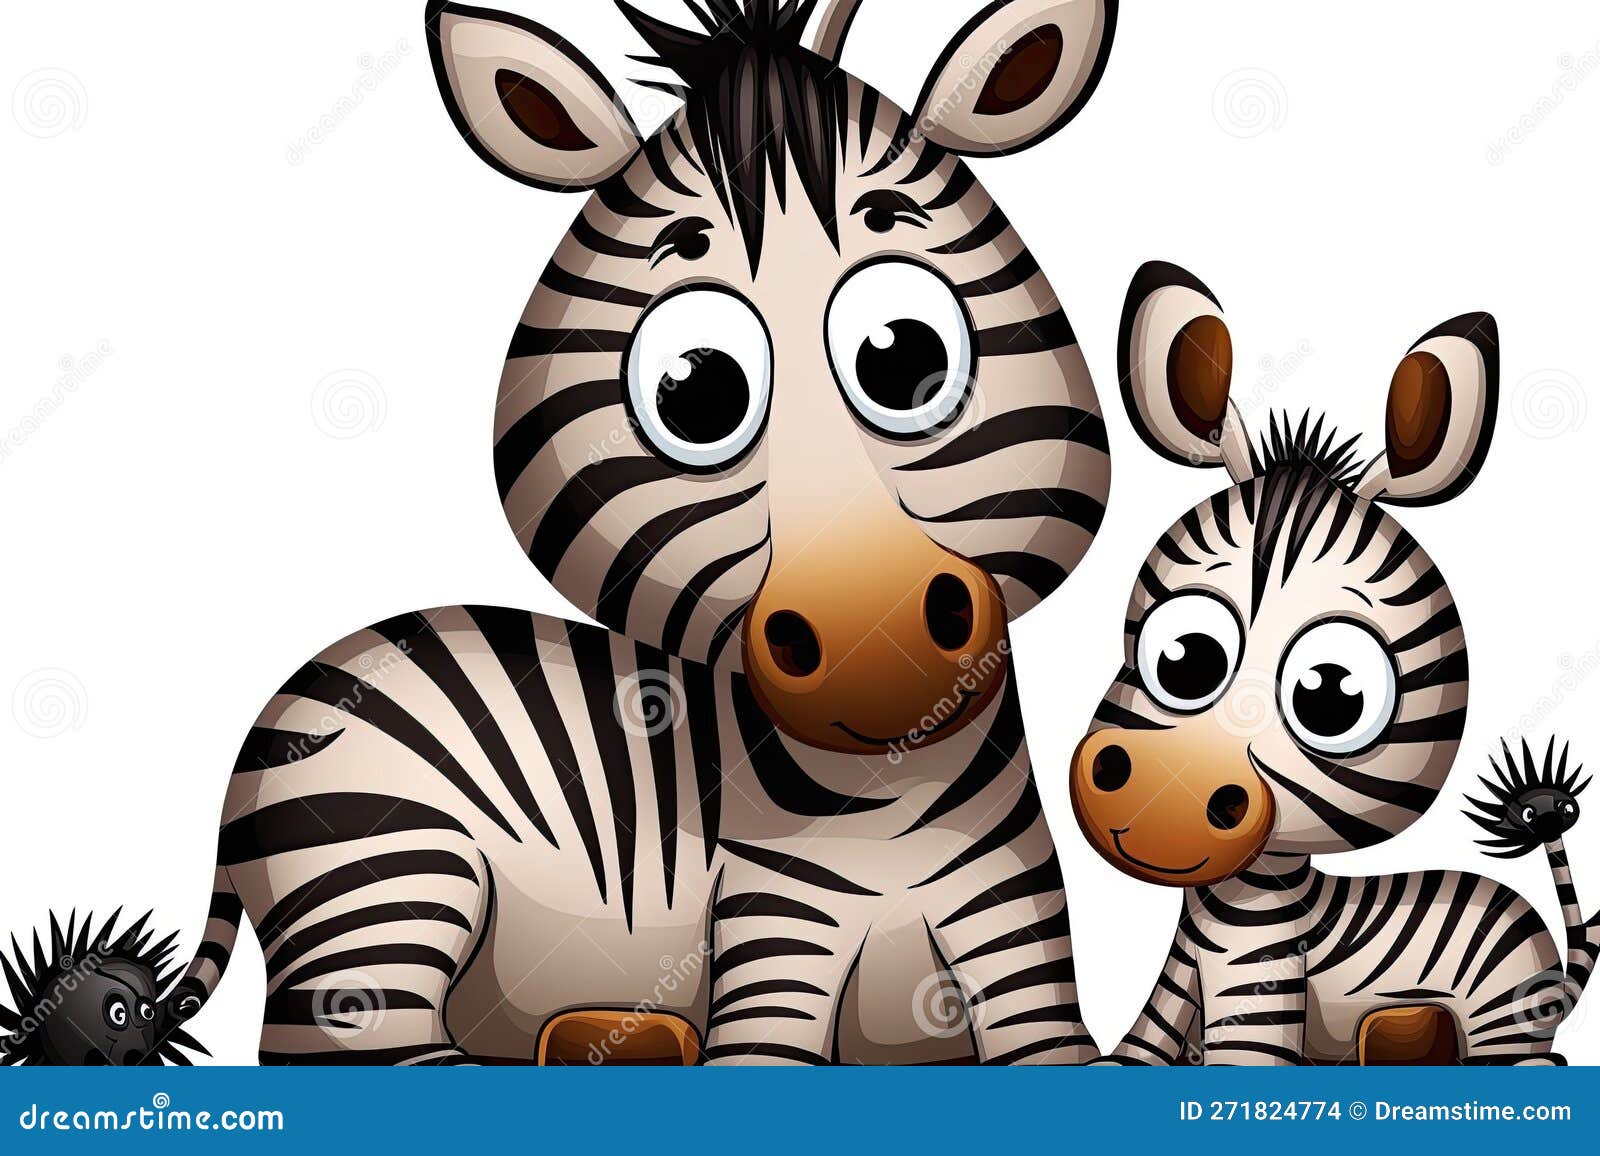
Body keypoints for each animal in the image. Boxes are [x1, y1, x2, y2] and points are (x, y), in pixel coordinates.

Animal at [152, 0, 1120, 1065]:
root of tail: (271, 721)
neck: (897, 810)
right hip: (384, 871)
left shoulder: (1022, 952)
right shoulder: (772, 944)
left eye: (906, 355)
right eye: (697, 391)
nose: (882, 648)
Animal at [1069, 260, 1597, 1065]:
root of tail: (1543, 948)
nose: (1160, 795)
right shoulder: (1182, 969)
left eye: (1331, 694)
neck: (1225, 905)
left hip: (1501, 1026)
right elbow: (1140, 1049)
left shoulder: (1258, 982)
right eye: (1184, 657)